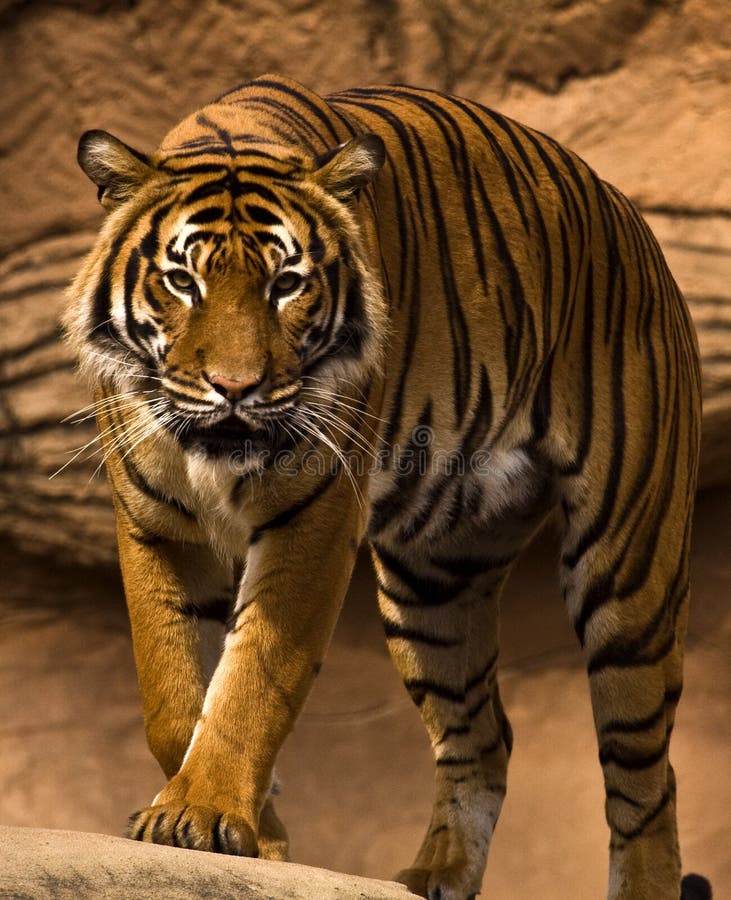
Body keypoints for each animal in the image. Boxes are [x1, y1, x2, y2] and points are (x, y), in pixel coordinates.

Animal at [63, 74, 708, 900]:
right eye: (182, 282)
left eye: (287, 285)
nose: (234, 389)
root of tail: (630, 217)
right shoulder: (156, 525)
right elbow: (172, 695)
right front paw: (253, 827)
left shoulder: (312, 520)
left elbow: (251, 679)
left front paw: (204, 813)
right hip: (432, 587)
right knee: (484, 735)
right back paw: (436, 873)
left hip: (627, 568)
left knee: (643, 770)